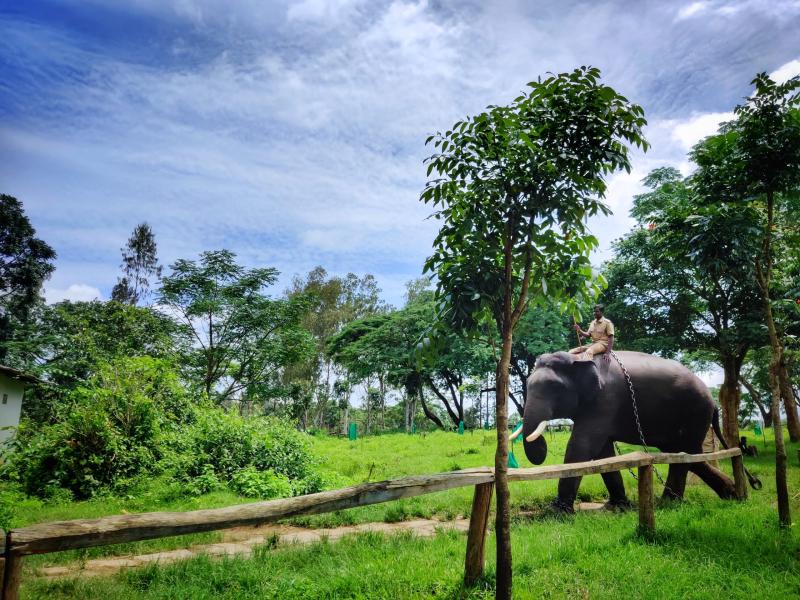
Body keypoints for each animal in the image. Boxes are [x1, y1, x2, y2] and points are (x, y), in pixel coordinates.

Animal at [520, 350, 738, 512]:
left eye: (554, 386)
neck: (579, 357)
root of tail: (714, 404)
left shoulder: (606, 400)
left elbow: (582, 446)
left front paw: (556, 512)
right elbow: (603, 452)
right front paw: (617, 507)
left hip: (695, 413)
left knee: (685, 455)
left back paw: (668, 503)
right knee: (687, 456)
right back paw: (731, 494)